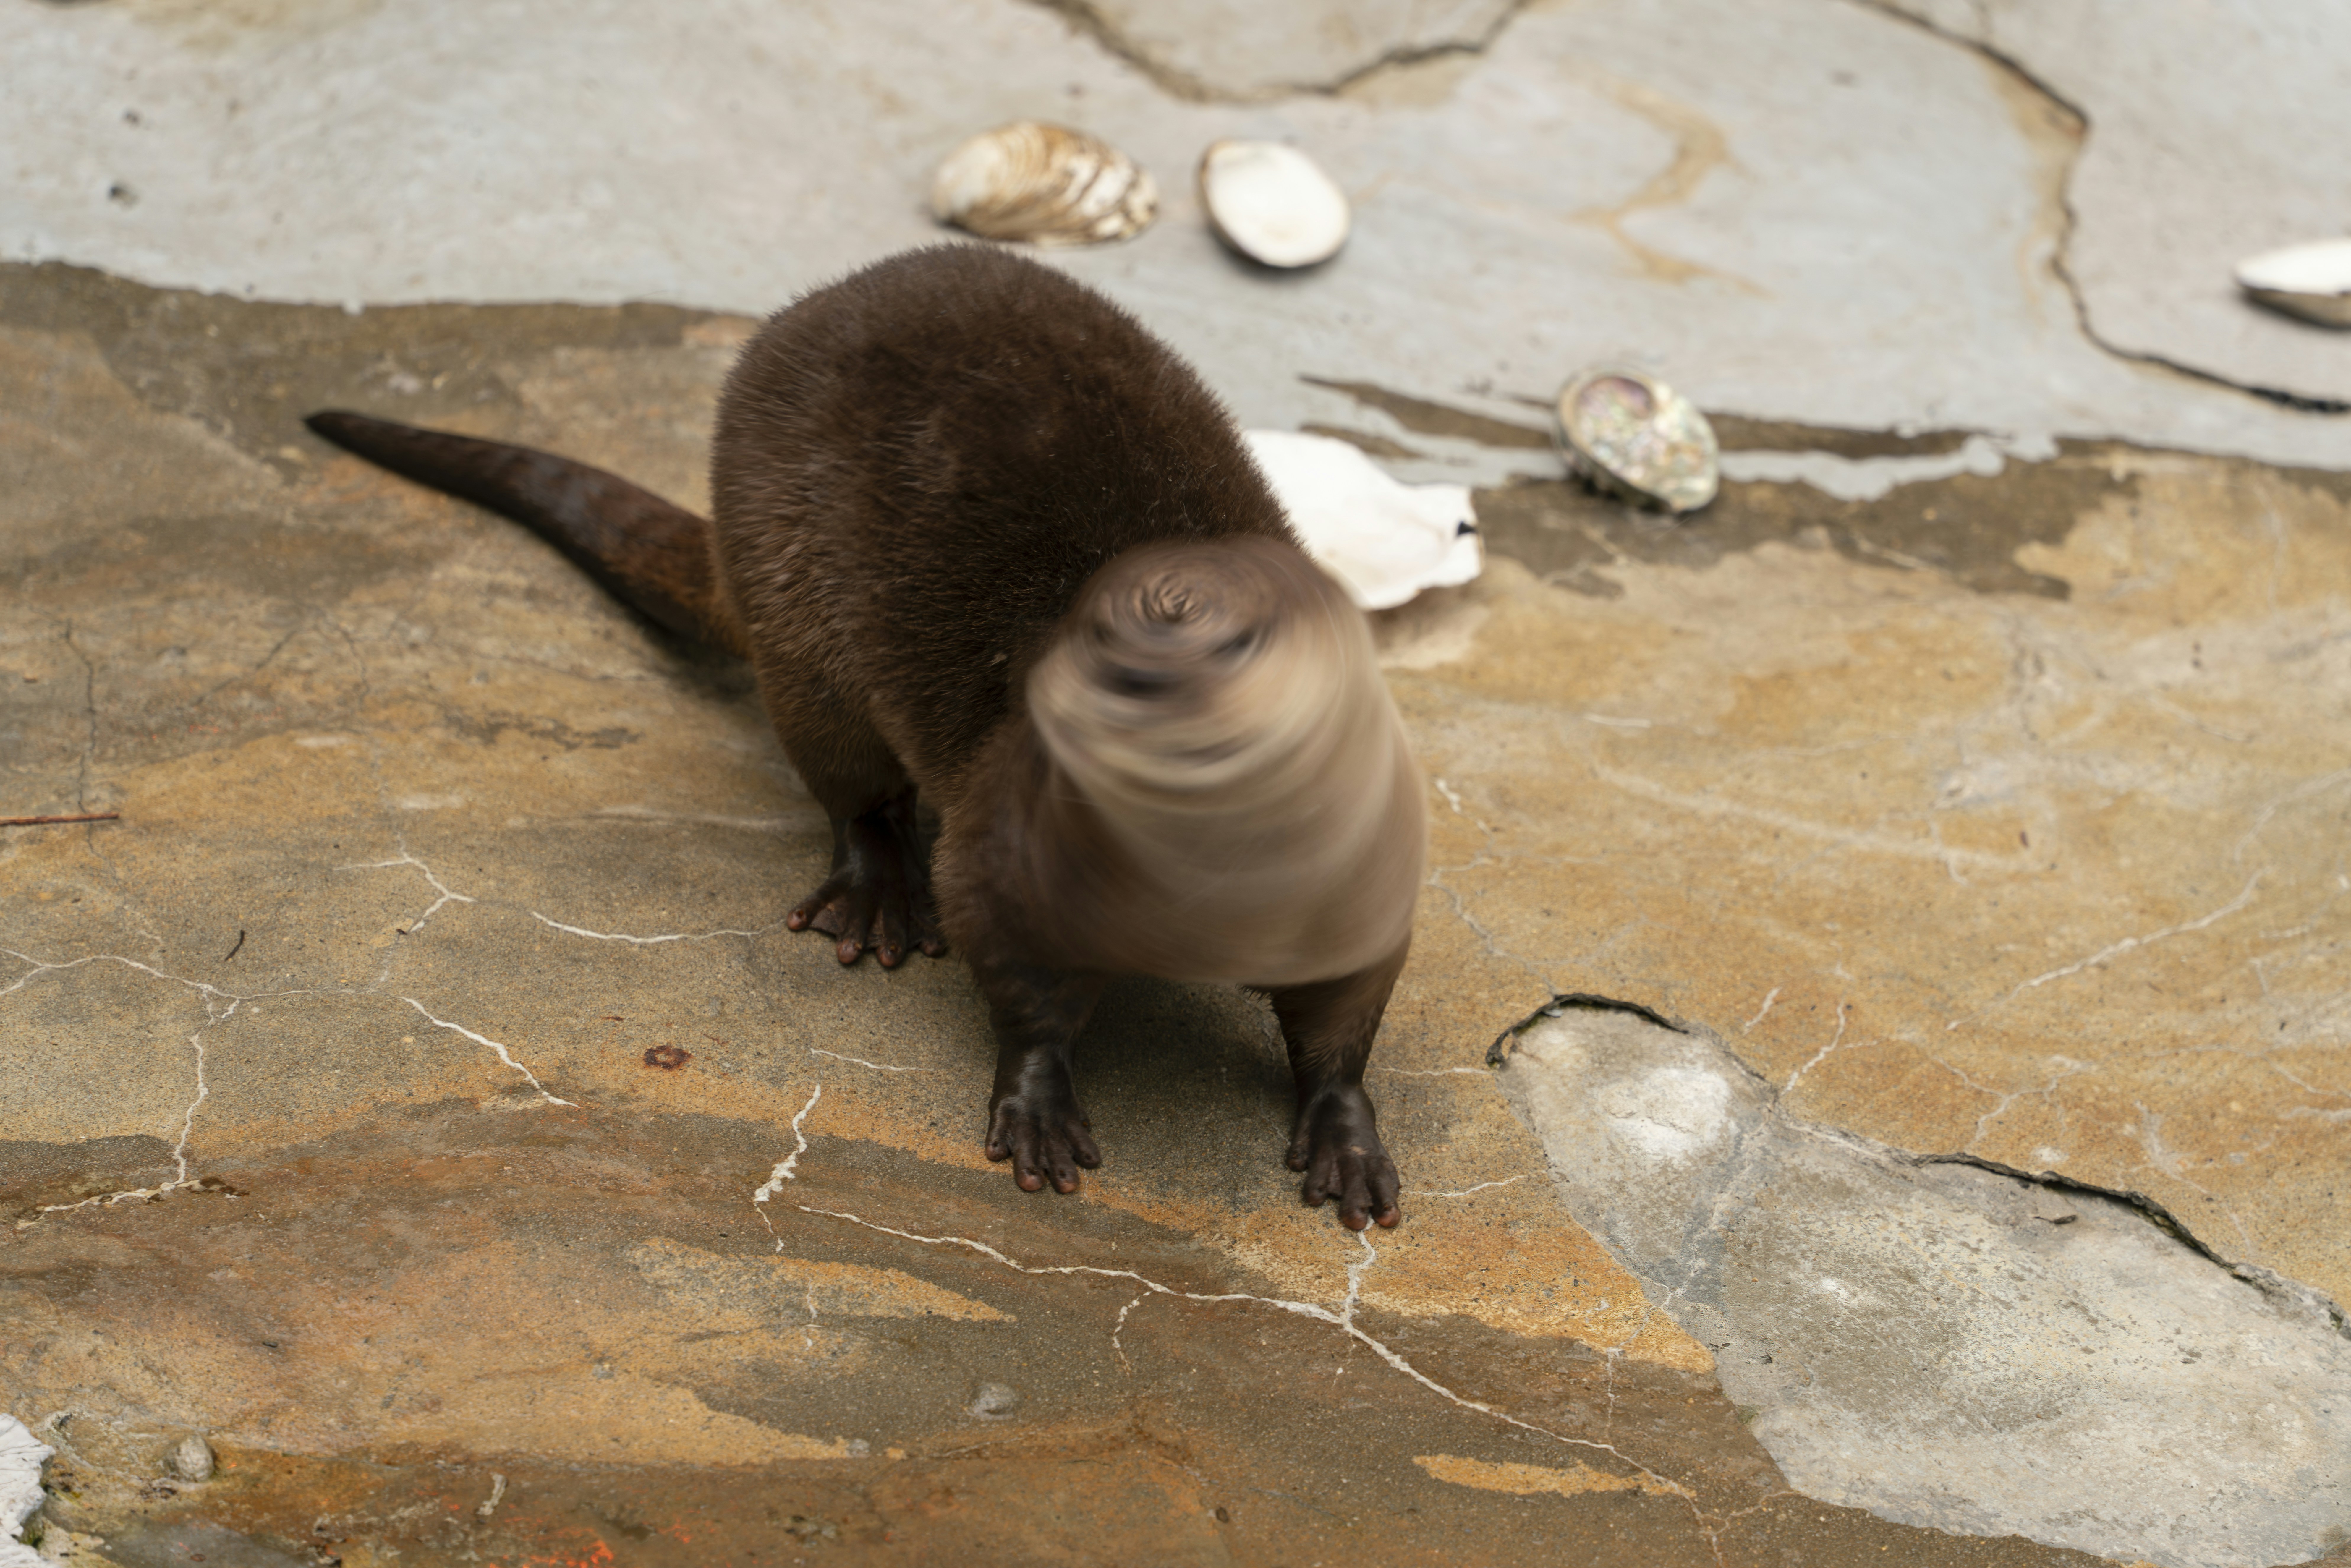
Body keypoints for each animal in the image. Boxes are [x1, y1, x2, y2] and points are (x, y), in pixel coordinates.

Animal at [307, 245, 1426, 1229]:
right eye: (1092, 637)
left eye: (1225, 652)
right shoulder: (1004, 849)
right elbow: (1018, 979)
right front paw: (1037, 1108)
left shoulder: (1368, 872)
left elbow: (1345, 1019)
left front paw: (1347, 1142)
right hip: (796, 621)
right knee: (846, 778)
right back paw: (879, 891)